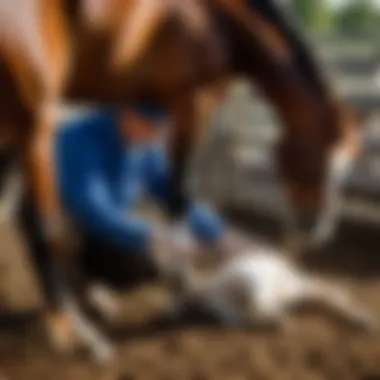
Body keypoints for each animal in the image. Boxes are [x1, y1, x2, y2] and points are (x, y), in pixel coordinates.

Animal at [0, 0, 366, 356]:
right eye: (324, 156)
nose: (316, 228)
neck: (219, 18)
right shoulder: (192, 104)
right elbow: (178, 199)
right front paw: (181, 287)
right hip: (33, 118)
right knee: (42, 224)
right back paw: (81, 333)